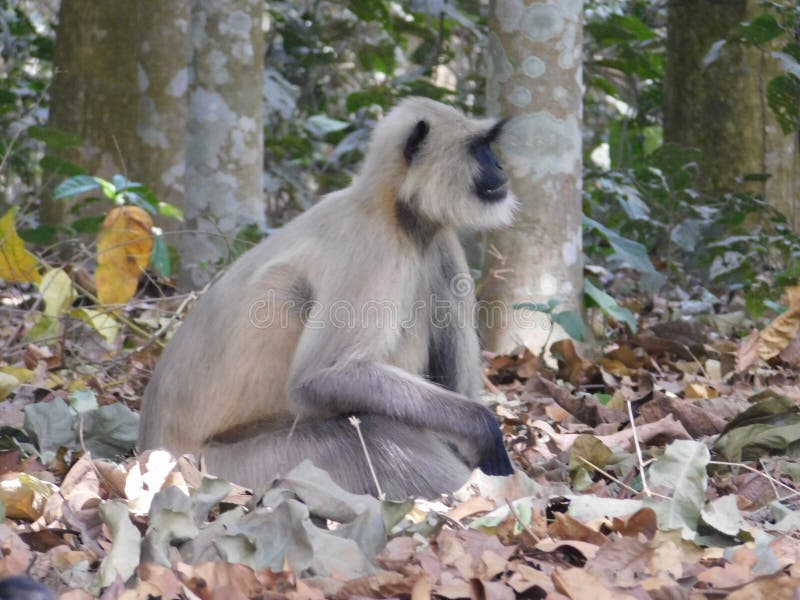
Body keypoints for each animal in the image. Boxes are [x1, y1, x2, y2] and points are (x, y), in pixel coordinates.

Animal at [138, 97, 517, 499]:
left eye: (489, 146)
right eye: (479, 148)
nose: (500, 166)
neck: (392, 209)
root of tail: (151, 451)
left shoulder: (436, 237)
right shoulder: (376, 248)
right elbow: (323, 377)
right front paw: (484, 430)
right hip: (240, 468)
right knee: (376, 435)